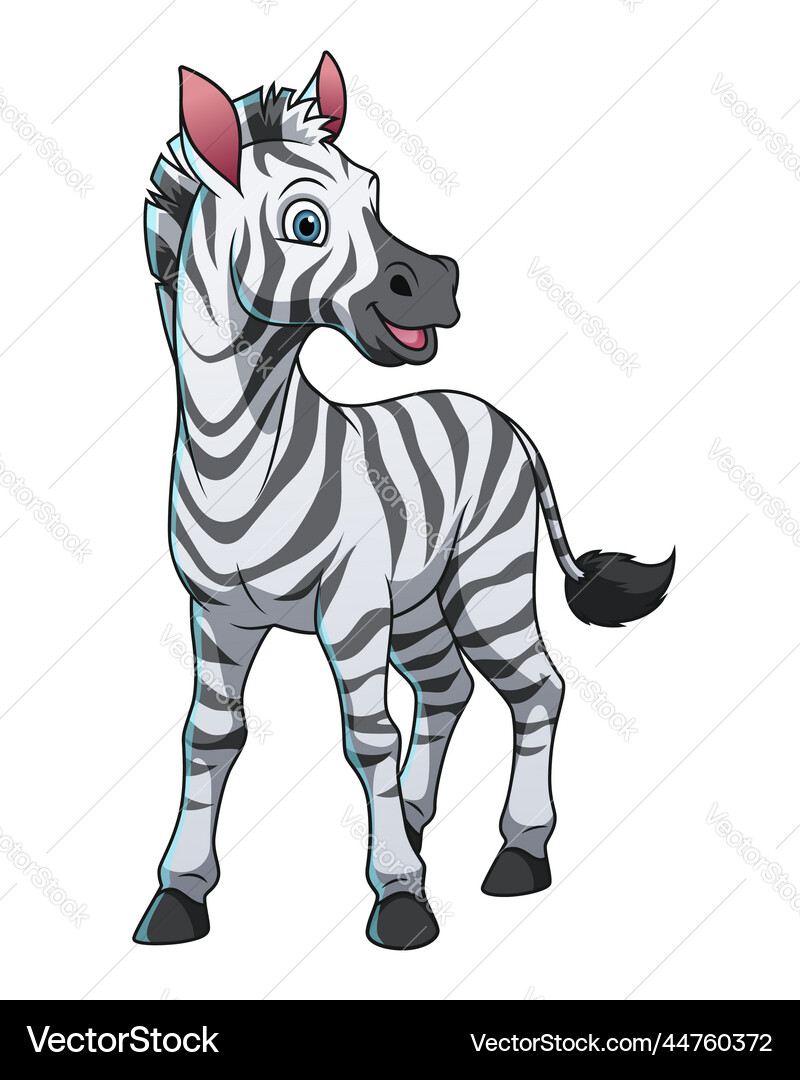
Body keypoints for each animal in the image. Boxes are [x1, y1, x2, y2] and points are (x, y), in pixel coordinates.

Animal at [134, 54, 675, 951]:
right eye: (306, 222)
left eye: (375, 192)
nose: (437, 285)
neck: (236, 460)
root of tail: (503, 419)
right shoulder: (216, 613)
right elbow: (209, 737)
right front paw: (179, 893)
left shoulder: (349, 608)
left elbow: (368, 737)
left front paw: (399, 899)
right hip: (418, 601)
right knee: (448, 685)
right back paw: (419, 822)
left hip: (486, 583)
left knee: (537, 686)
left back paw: (519, 852)